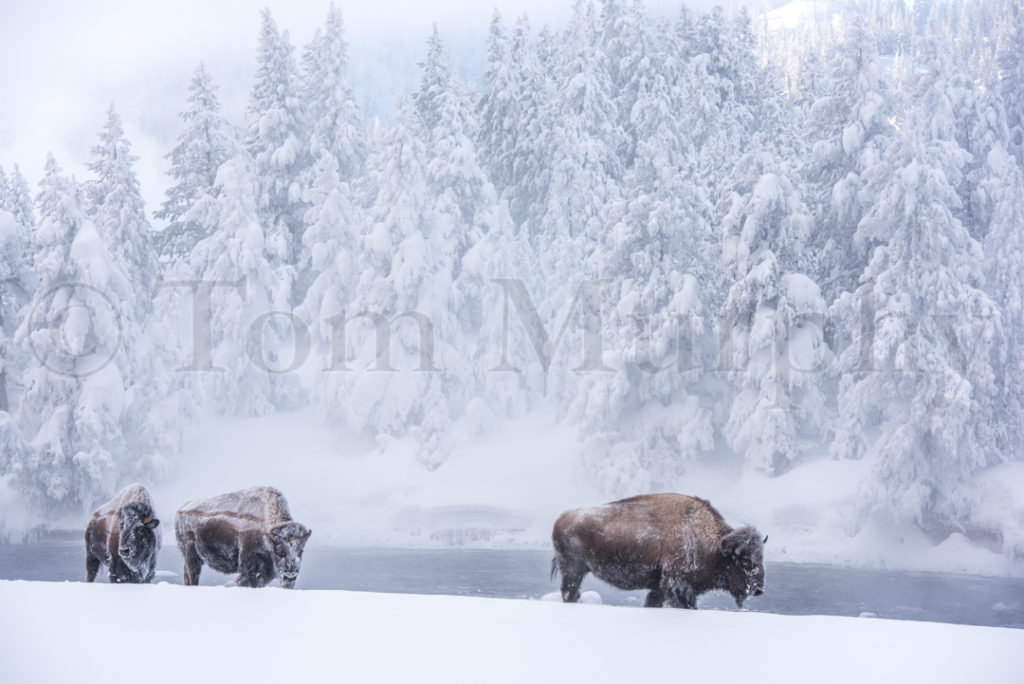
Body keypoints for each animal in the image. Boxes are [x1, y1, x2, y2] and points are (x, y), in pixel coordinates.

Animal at [174, 486, 311, 589]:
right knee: (193, 574)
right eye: (280, 552)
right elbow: (246, 581)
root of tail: (180, 510)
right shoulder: (248, 562)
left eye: (300, 551)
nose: (290, 575)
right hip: (191, 555)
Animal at [551, 493, 766, 609]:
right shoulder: (678, 584)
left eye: (761, 559)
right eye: (745, 562)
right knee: (569, 592)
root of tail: (561, 518)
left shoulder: (660, 587)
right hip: (573, 570)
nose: (759, 589)